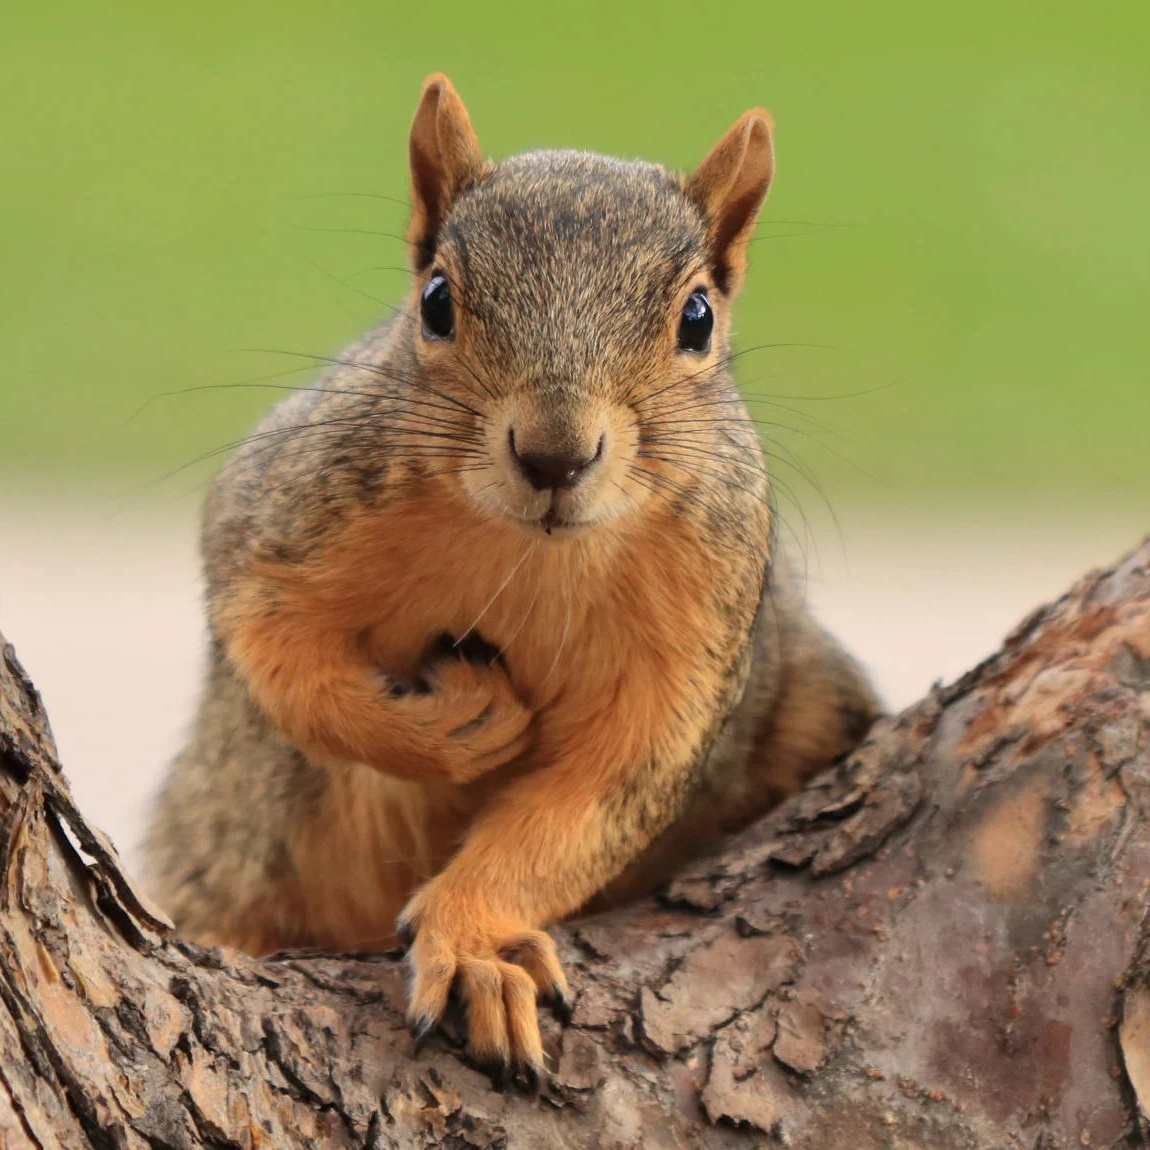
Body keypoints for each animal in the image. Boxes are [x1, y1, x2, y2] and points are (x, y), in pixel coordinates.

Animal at [144, 74, 879, 1087]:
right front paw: (450, 728)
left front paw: (476, 945)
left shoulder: (696, 640)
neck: (531, 555)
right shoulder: (283, 517)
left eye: (697, 320)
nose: (554, 456)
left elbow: (589, 803)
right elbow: (277, 658)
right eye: (436, 302)